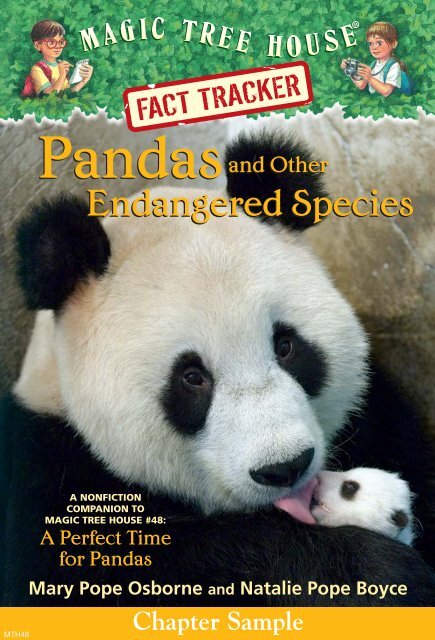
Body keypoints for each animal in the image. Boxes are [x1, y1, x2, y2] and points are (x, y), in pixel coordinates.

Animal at [1, 127, 434, 607]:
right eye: (193, 378)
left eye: (285, 346)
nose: (285, 467)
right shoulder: (49, 463)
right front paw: (372, 571)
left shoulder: (379, 416)